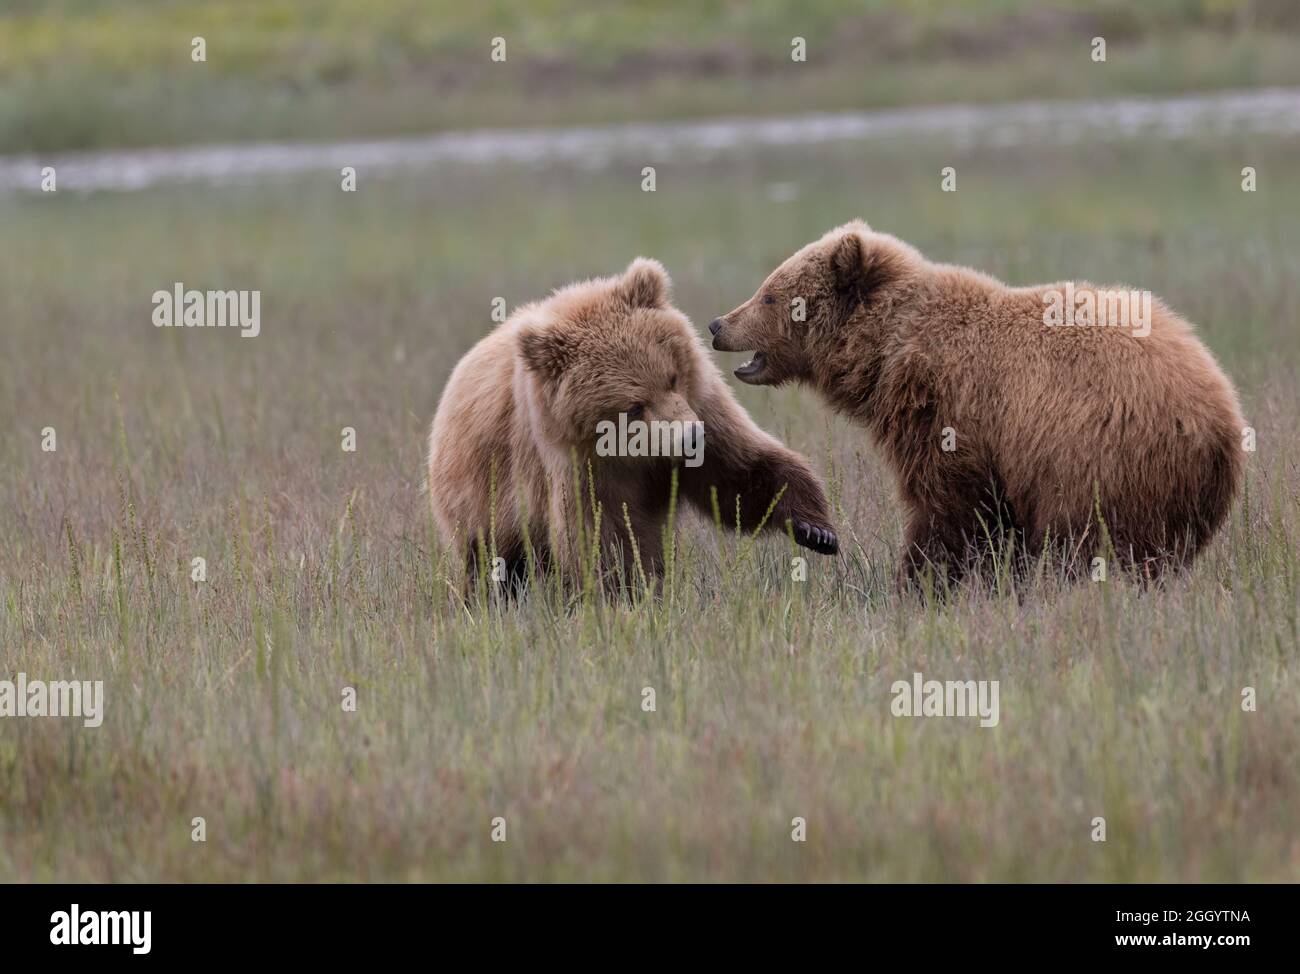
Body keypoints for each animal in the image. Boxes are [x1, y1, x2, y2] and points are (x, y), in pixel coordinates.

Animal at [427, 257, 839, 596]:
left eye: (671, 377)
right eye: (634, 405)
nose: (691, 437)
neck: (636, 453)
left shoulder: (703, 408)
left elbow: (738, 473)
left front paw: (815, 528)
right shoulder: (578, 466)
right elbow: (604, 535)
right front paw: (628, 590)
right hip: (480, 496)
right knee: (492, 562)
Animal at [709, 220, 1245, 587]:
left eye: (770, 294)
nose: (717, 323)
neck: (888, 353)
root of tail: (1216, 416)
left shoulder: (955, 415)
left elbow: (953, 513)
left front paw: (919, 581)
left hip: (1099, 456)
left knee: (1083, 539)